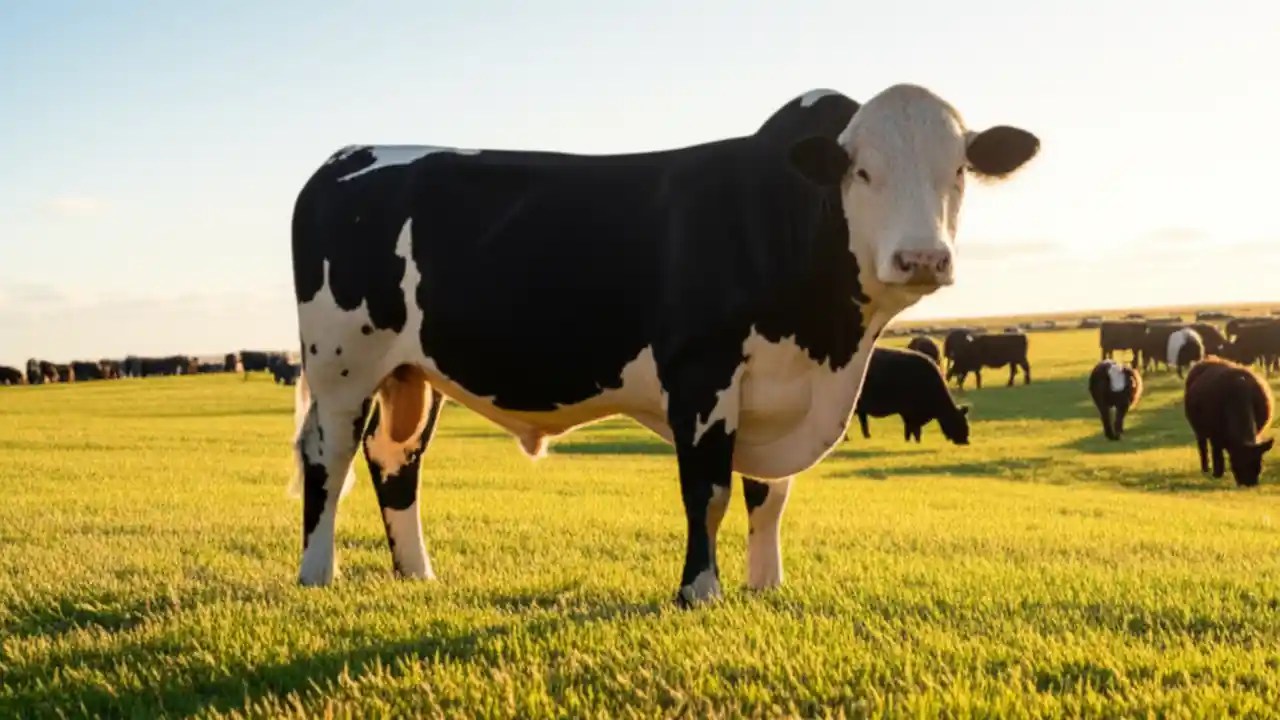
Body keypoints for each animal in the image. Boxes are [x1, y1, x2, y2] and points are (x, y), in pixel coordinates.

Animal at [285, 83, 1039, 605]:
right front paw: (699, 591)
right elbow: (707, 489)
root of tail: (348, 156)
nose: (922, 258)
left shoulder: (780, 386)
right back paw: (318, 573)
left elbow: (769, 494)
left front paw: (766, 584)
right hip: (342, 364)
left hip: (410, 372)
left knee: (395, 458)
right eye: (863, 172)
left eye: (958, 171)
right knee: (330, 455)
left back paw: (417, 574)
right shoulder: (702, 371)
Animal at [1184, 356, 1274, 486]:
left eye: (1258, 462)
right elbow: (1217, 453)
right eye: (1236, 461)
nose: (1249, 484)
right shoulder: (1215, 433)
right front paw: (1217, 474)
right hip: (1198, 429)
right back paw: (1206, 470)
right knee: (1203, 446)